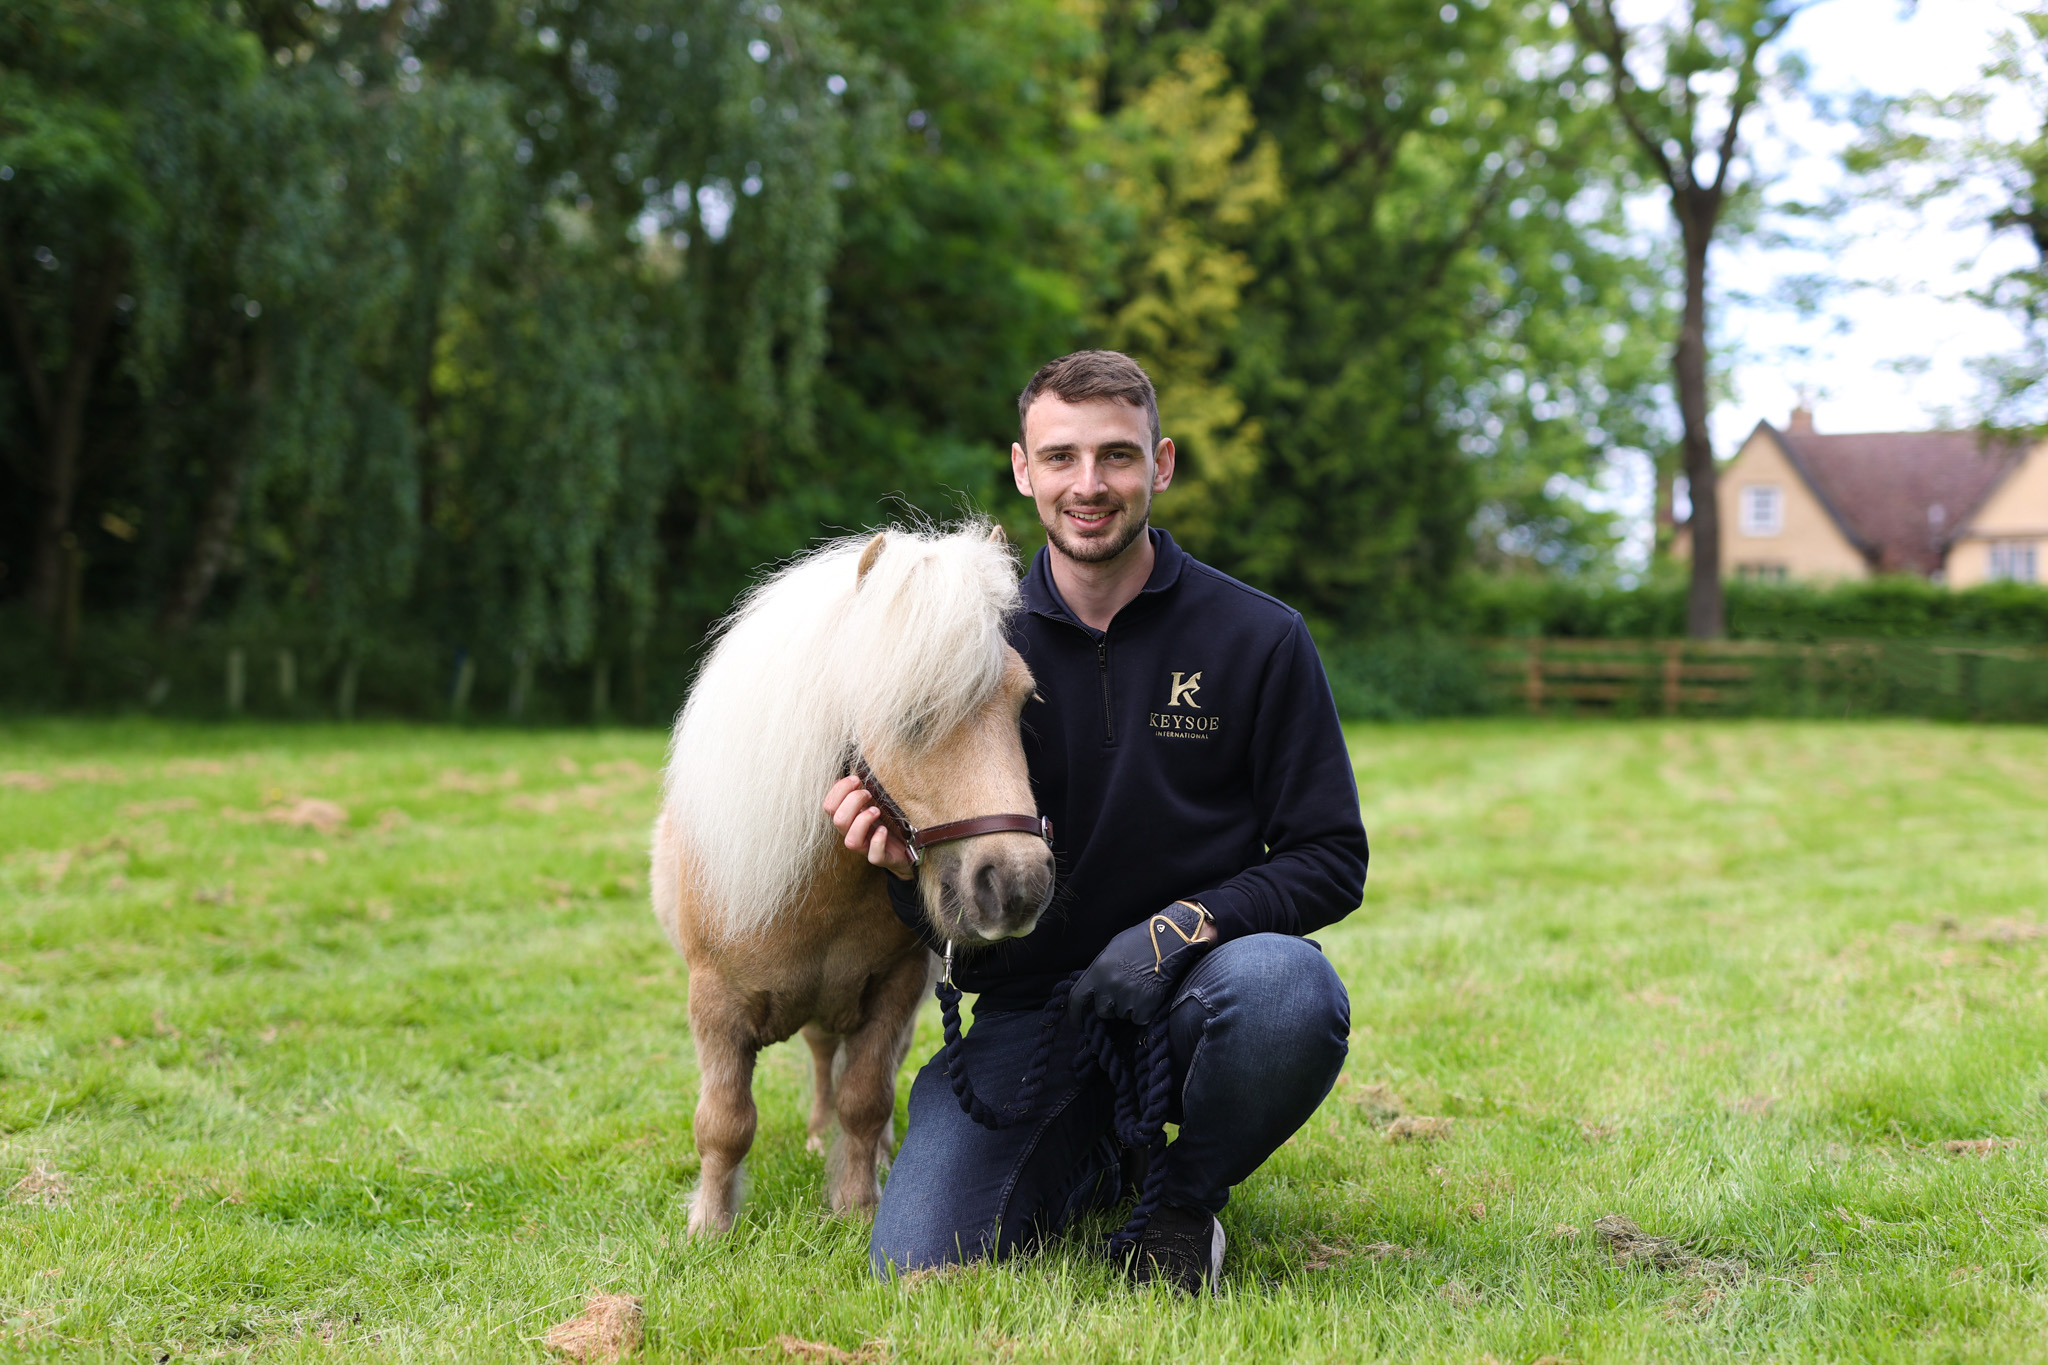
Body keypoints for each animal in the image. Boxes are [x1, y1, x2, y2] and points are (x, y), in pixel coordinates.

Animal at [650, 521, 1056, 1235]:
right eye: (910, 713)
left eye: (1022, 702)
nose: (1016, 885)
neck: (818, 898)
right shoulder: (715, 1006)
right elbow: (724, 1123)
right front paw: (709, 1228)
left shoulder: (894, 993)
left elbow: (866, 1100)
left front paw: (856, 1205)